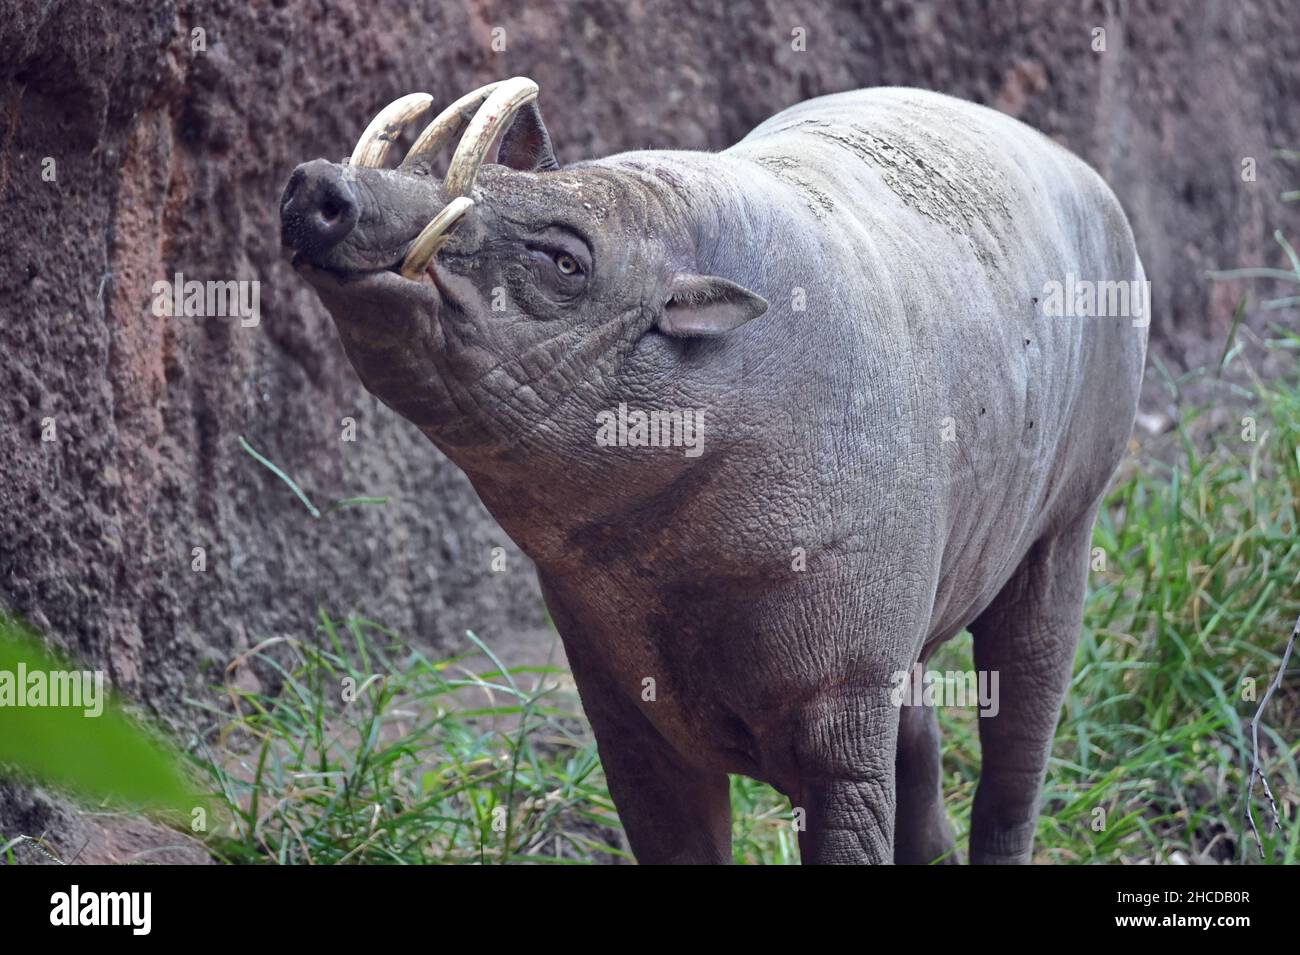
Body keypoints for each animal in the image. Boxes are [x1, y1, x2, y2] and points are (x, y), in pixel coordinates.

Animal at [280, 77, 1148, 864]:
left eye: (564, 260)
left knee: (1019, 749)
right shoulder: (628, 723)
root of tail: (1088, 178)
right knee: (924, 736)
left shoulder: (844, 718)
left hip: (1065, 530)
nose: (319, 187)